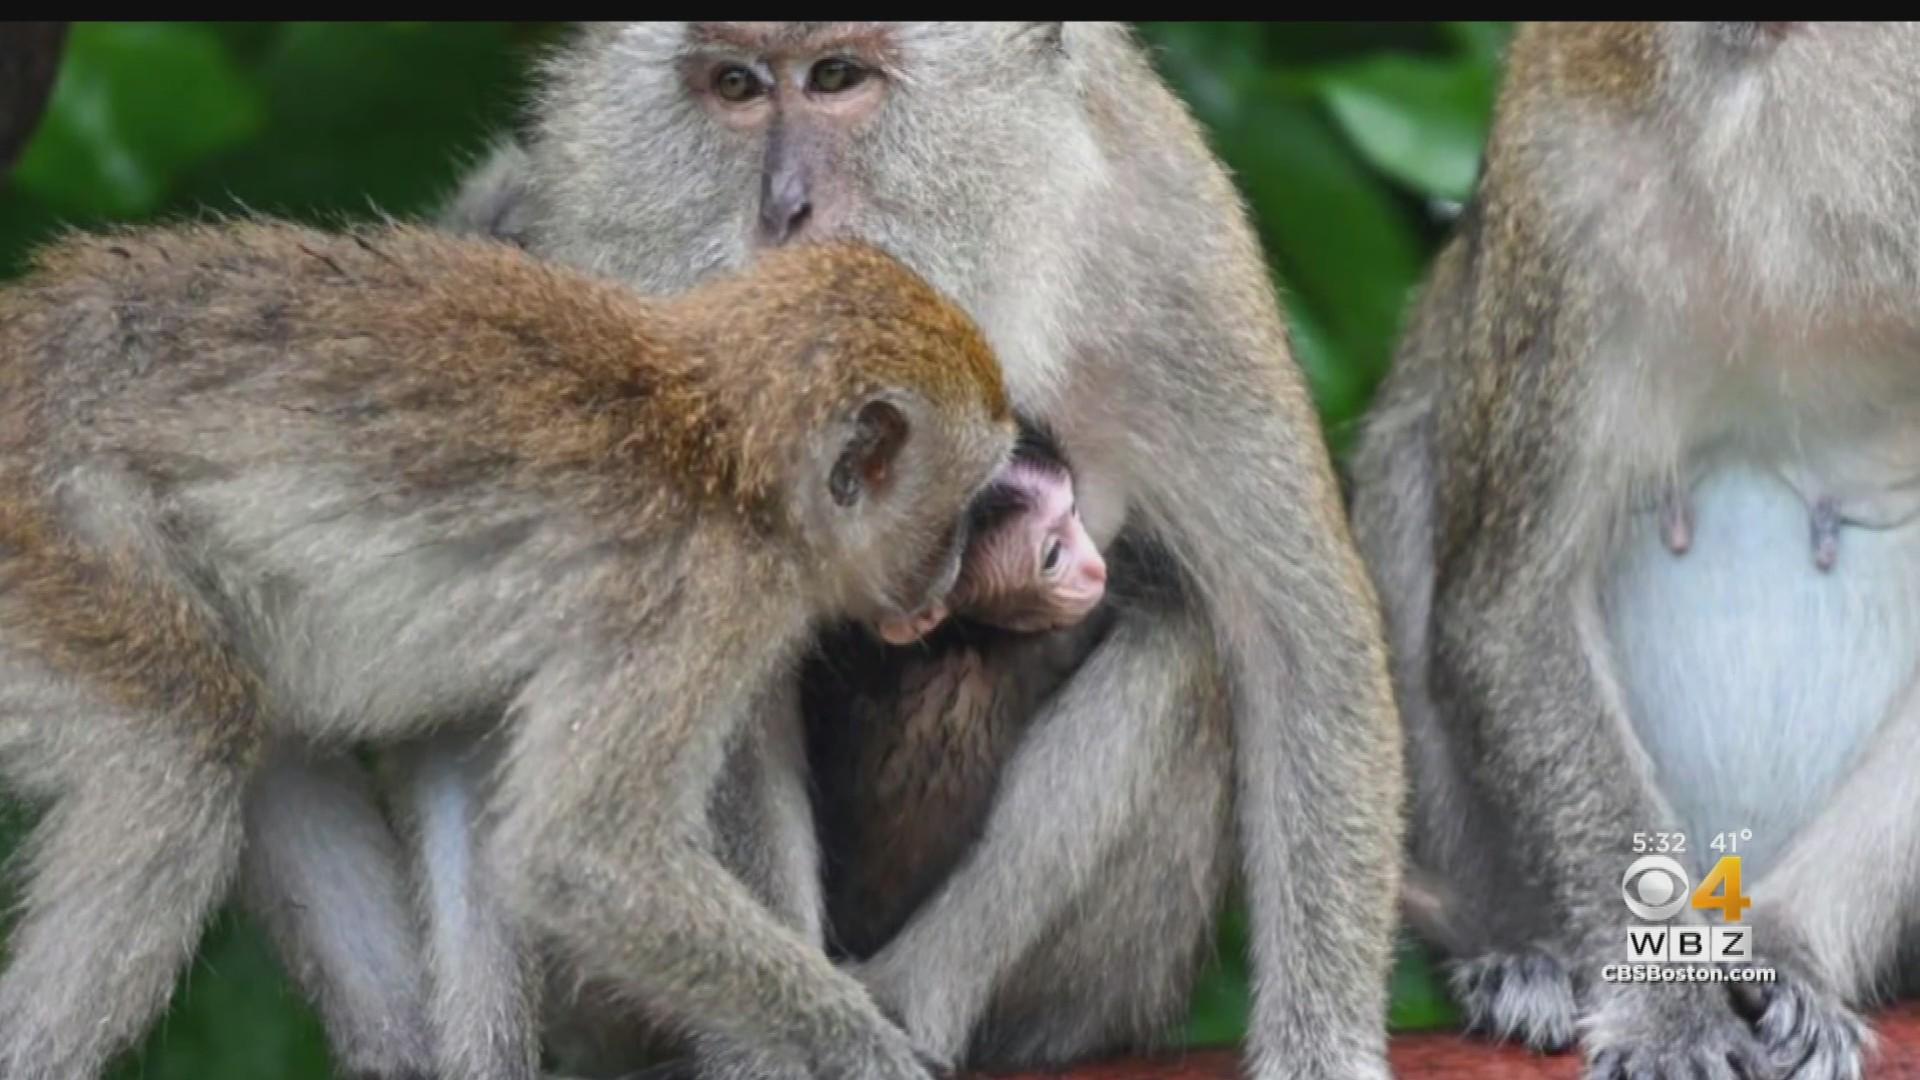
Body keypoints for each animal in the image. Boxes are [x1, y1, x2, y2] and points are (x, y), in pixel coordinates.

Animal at [0, 219, 1016, 1080]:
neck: (727, 447)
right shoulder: (705, 600)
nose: (942, 581)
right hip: (45, 549)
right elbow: (581, 857)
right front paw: (869, 1054)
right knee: (181, 742)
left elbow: (469, 784)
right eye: (961, 507)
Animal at [429, 21, 1404, 1080]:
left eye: (836, 76)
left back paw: (916, 998)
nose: (783, 209)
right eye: (736, 85)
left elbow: (1300, 633)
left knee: (1184, 647)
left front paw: (1322, 1050)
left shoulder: (1170, 250)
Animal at [1348, 21, 1920, 1080]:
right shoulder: (1562, 205)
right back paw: (1514, 952)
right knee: (1411, 455)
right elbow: (1510, 611)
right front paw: (1666, 1003)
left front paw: (1788, 954)